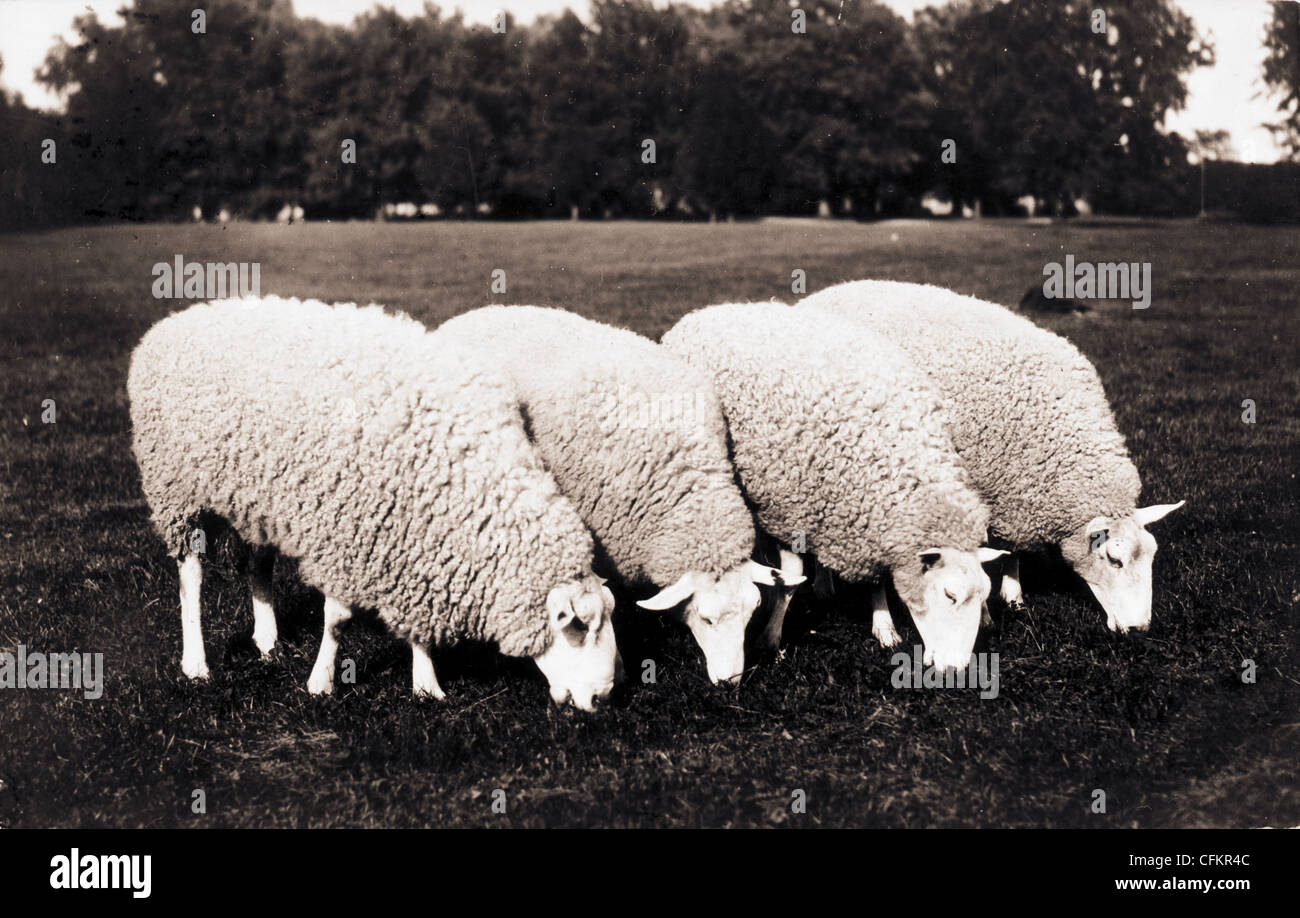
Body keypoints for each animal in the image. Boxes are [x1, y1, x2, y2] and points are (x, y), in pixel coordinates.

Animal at [127, 295, 620, 710]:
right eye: (576, 625)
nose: (603, 698)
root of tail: (176, 321)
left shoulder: (413, 541)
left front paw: (426, 684)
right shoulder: (347, 532)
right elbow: (337, 619)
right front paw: (321, 681)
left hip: (256, 500)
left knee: (258, 566)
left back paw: (268, 642)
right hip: (177, 492)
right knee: (191, 578)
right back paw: (196, 664)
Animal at [661, 302, 1006, 670]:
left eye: (985, 595)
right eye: (950, 594)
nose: (958, 669)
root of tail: (713, 308)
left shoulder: (863, 521)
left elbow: (875, 580)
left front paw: (883, 626)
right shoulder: (788, 513)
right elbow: (789, 582)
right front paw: (772, 637)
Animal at [798, 280, 1183, 632]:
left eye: (1152, 555)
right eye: (1114, 560)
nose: (1140, 629)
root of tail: (829, 290)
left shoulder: (1015, 490)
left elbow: (1012, 548)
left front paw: (1012, 594)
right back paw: (824, 585)